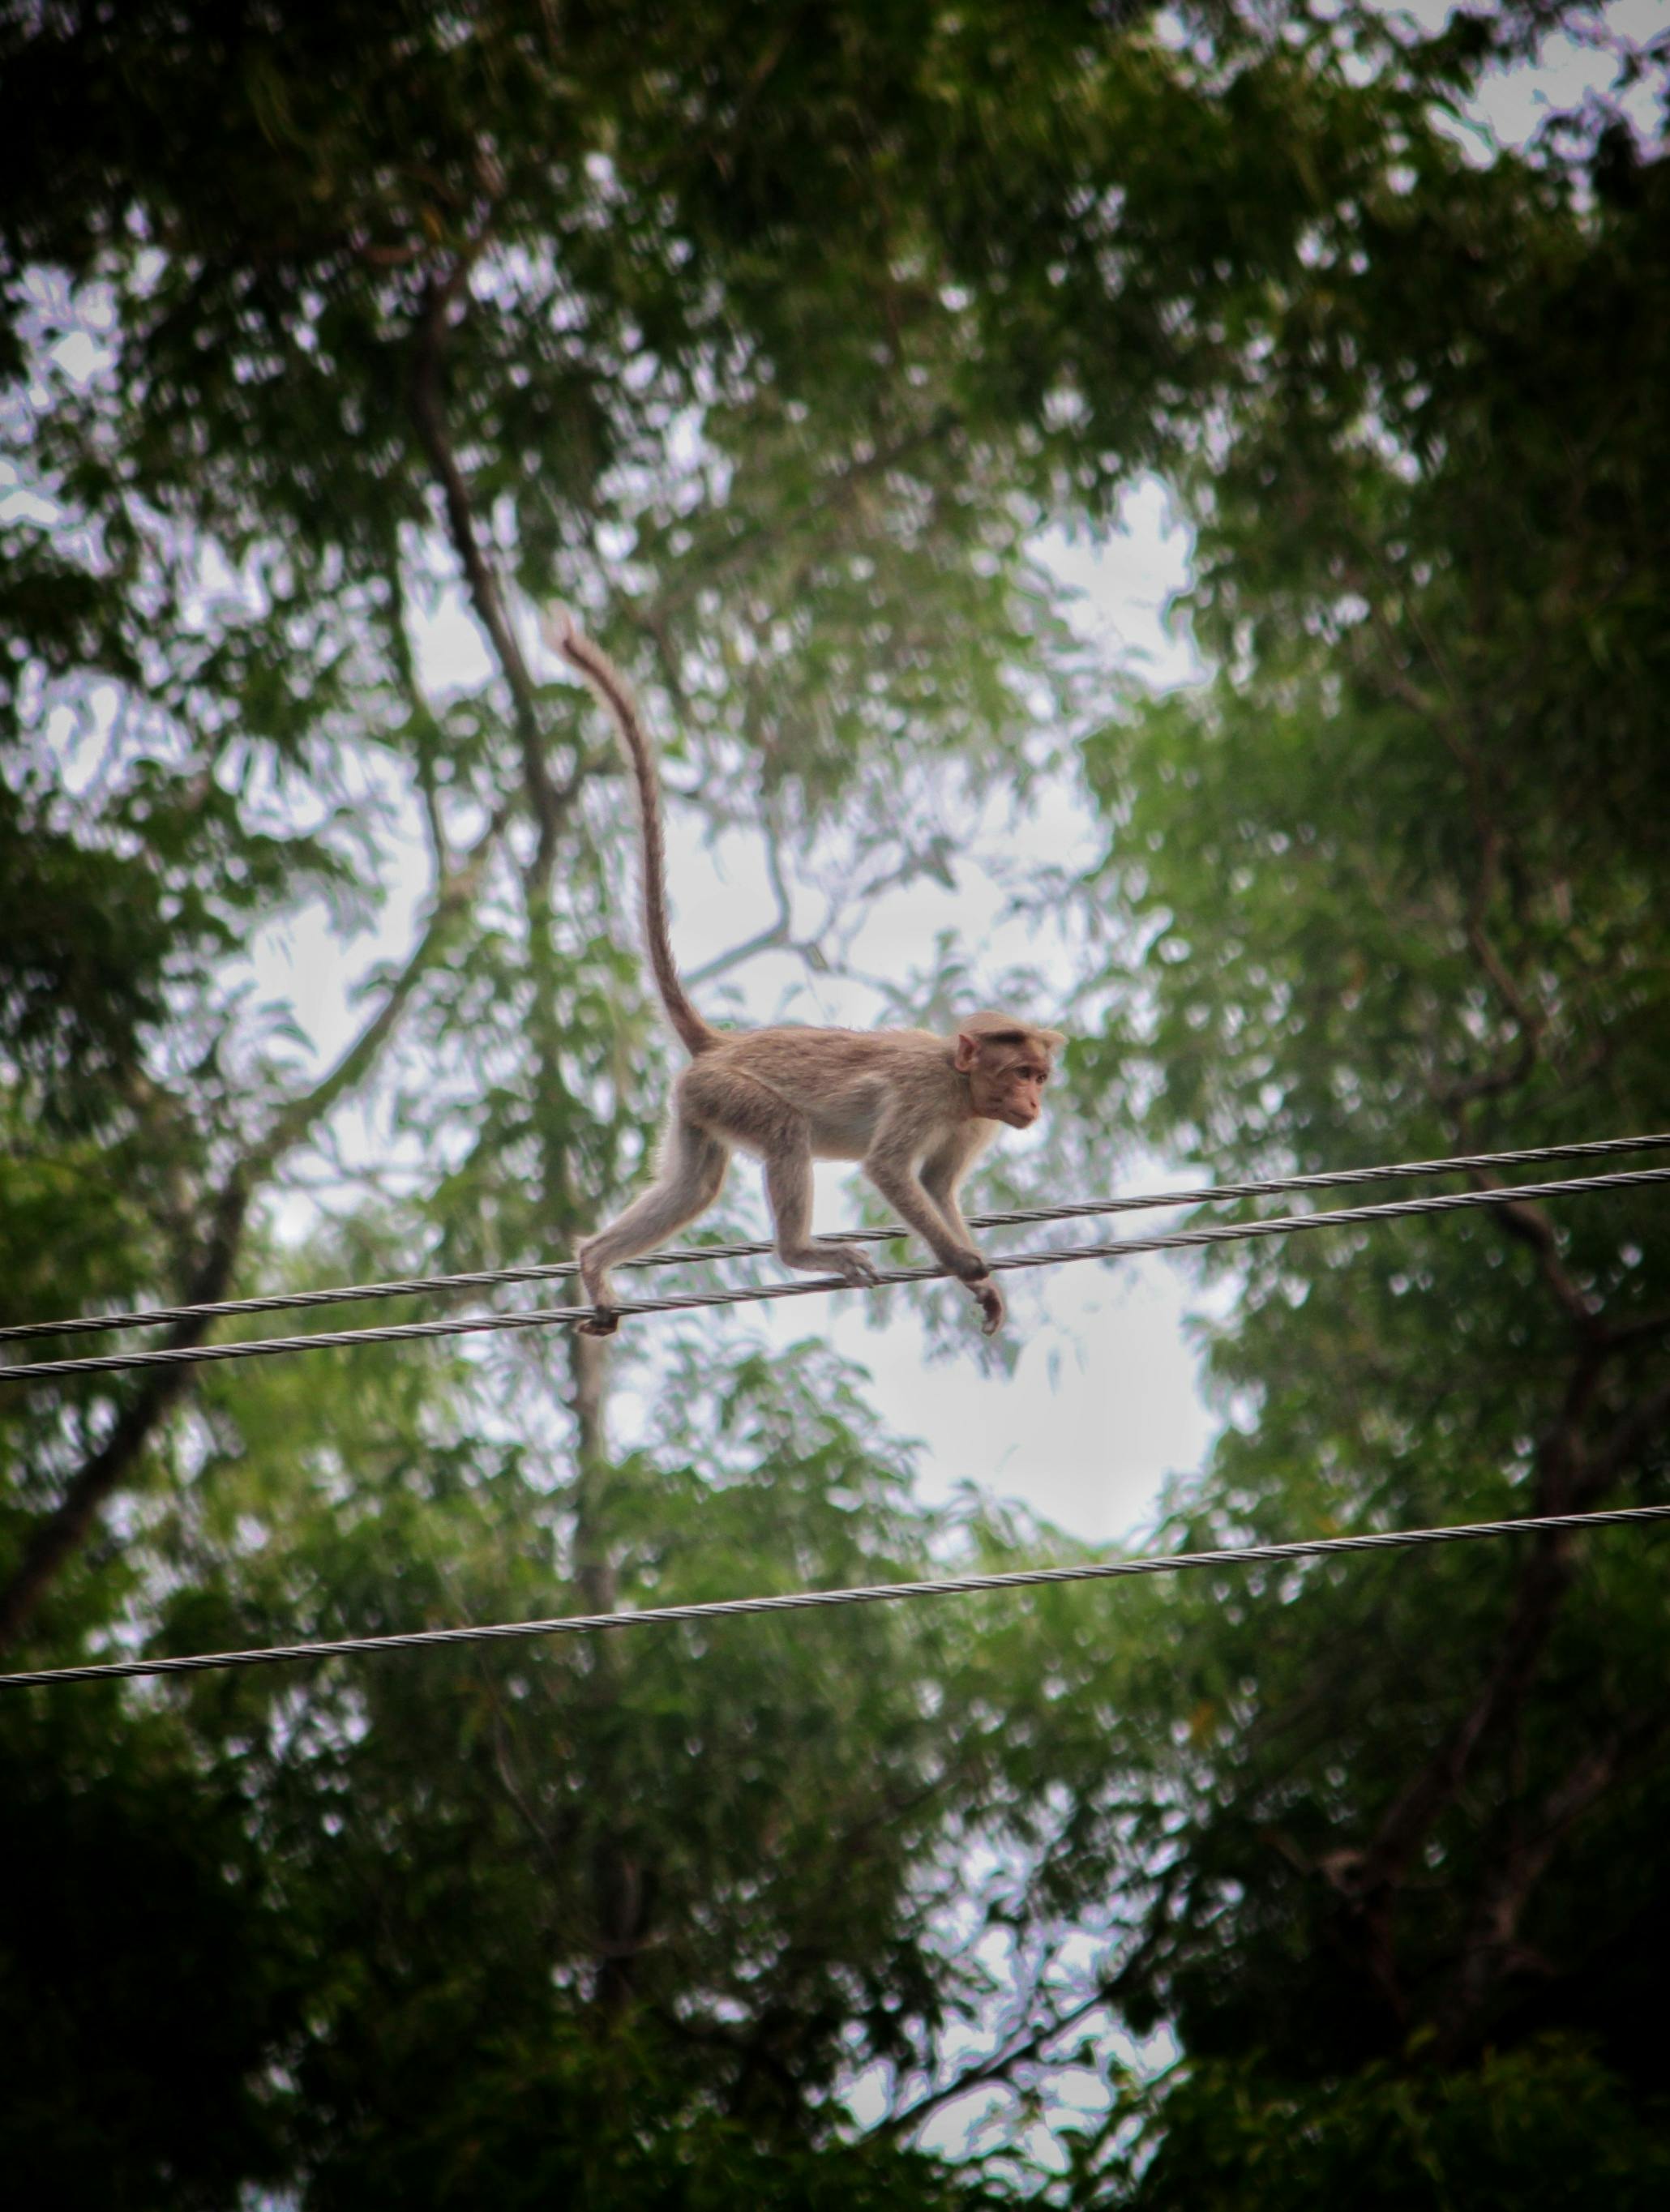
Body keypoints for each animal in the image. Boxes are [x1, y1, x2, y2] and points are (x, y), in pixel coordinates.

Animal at [547, 613, 1064, 1338]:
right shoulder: (923, 1093)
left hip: (698, 1101)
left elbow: (937, 1186)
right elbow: (890, 1170)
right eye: (1020, 1072)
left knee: (694, 1186)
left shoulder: (973, 1121)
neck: (958, 1081)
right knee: (783, 1131)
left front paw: (983, 1285)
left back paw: (596, 1262)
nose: (1034, 1102)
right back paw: (798, 1251)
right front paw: (963, 1260)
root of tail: (723, 1045)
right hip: (730, 1091)